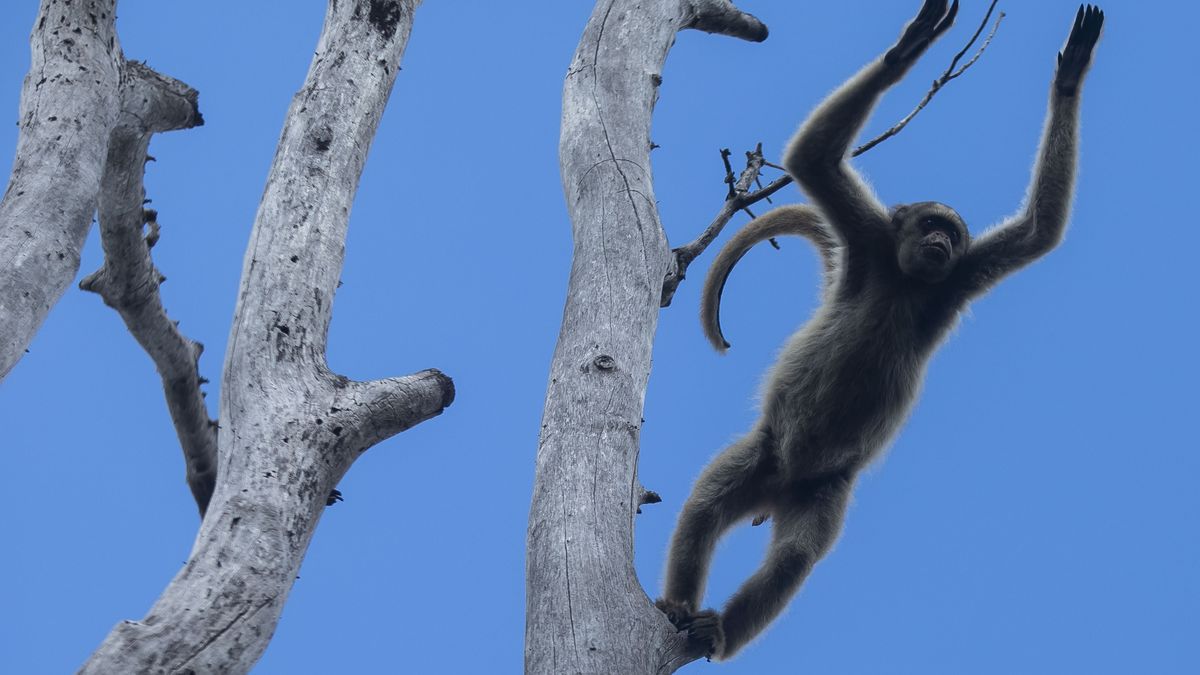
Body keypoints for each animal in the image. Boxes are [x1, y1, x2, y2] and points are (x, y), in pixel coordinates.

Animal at [656, 1, 1104, 660]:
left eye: (951, 231)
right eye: (930, 224)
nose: (942, 239)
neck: (906, 281)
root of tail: (779, 485)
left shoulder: (955, 278)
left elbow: (1040, 231)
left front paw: (1071, 77)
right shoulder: (869, 241)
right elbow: (812, 158)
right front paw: (910, 46)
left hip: (822, 489)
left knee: (792, 559)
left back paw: (719, 630)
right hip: (766, 454)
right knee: (708, 504)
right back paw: (682, 608)